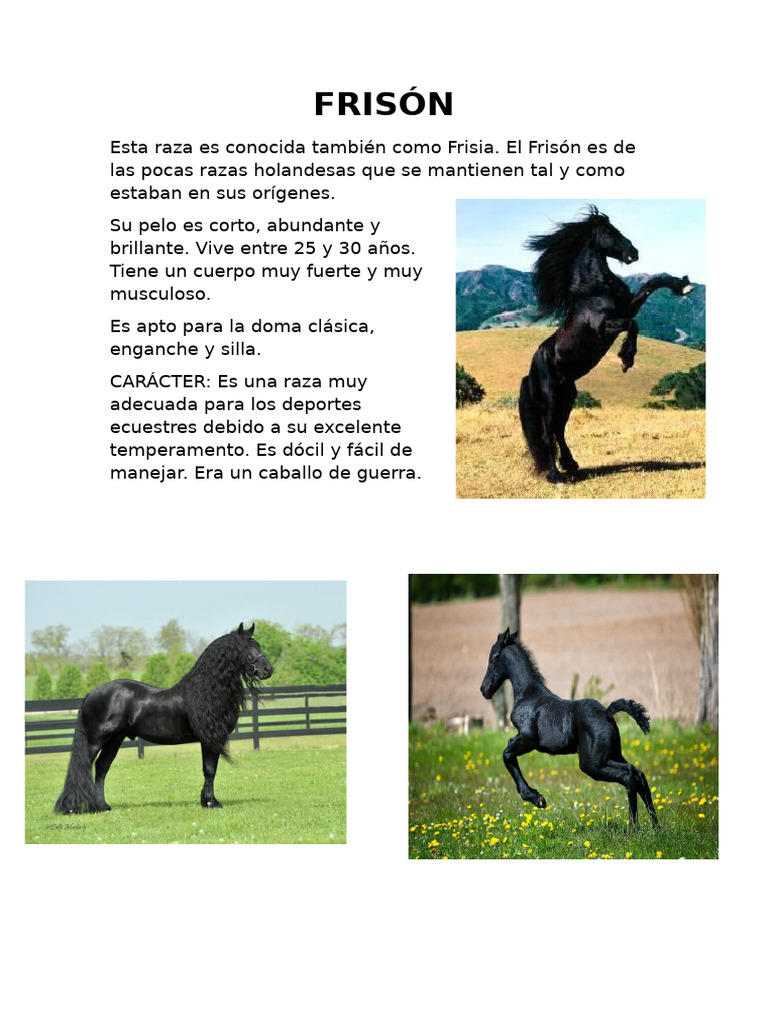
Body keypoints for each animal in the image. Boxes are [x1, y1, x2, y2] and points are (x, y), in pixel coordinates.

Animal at [54, 623, 273, 814]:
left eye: (258, 646)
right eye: (245, 648)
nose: (267, 669)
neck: (205, 691)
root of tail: (90, 694)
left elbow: (209, 770)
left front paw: (205, 800)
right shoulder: (210, 740)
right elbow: (210, 769)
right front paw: (212, 803)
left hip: (115, 739)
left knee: (101, 768)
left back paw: (102, 806)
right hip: (96, 740)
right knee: (83, 766)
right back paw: (73, 807)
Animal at [480, 628, 659, 827]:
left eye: (493, 658)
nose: (484, 689)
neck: (528, 694)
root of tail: (607, 713)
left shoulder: (528, 739)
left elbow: (507, 754)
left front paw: (536, 798)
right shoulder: (522, 739)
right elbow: (508, 750)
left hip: (592, 764)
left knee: (629, 775)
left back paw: (633, 827)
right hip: (611, 755)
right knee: (639, 774)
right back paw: (655, 826)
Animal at [519, 205, 694, 482]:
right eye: (610, 231)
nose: (634, 252)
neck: (594, 289)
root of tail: (530, 372)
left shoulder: (629, 306)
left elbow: (652, 283)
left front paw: (683, 285)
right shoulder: (606, 326)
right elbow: (633, 325)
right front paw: (626, 359)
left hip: (568, 396)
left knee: (558, 429)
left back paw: (571, 465)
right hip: (550, 399)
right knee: (548, 433)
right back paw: (556, 476)